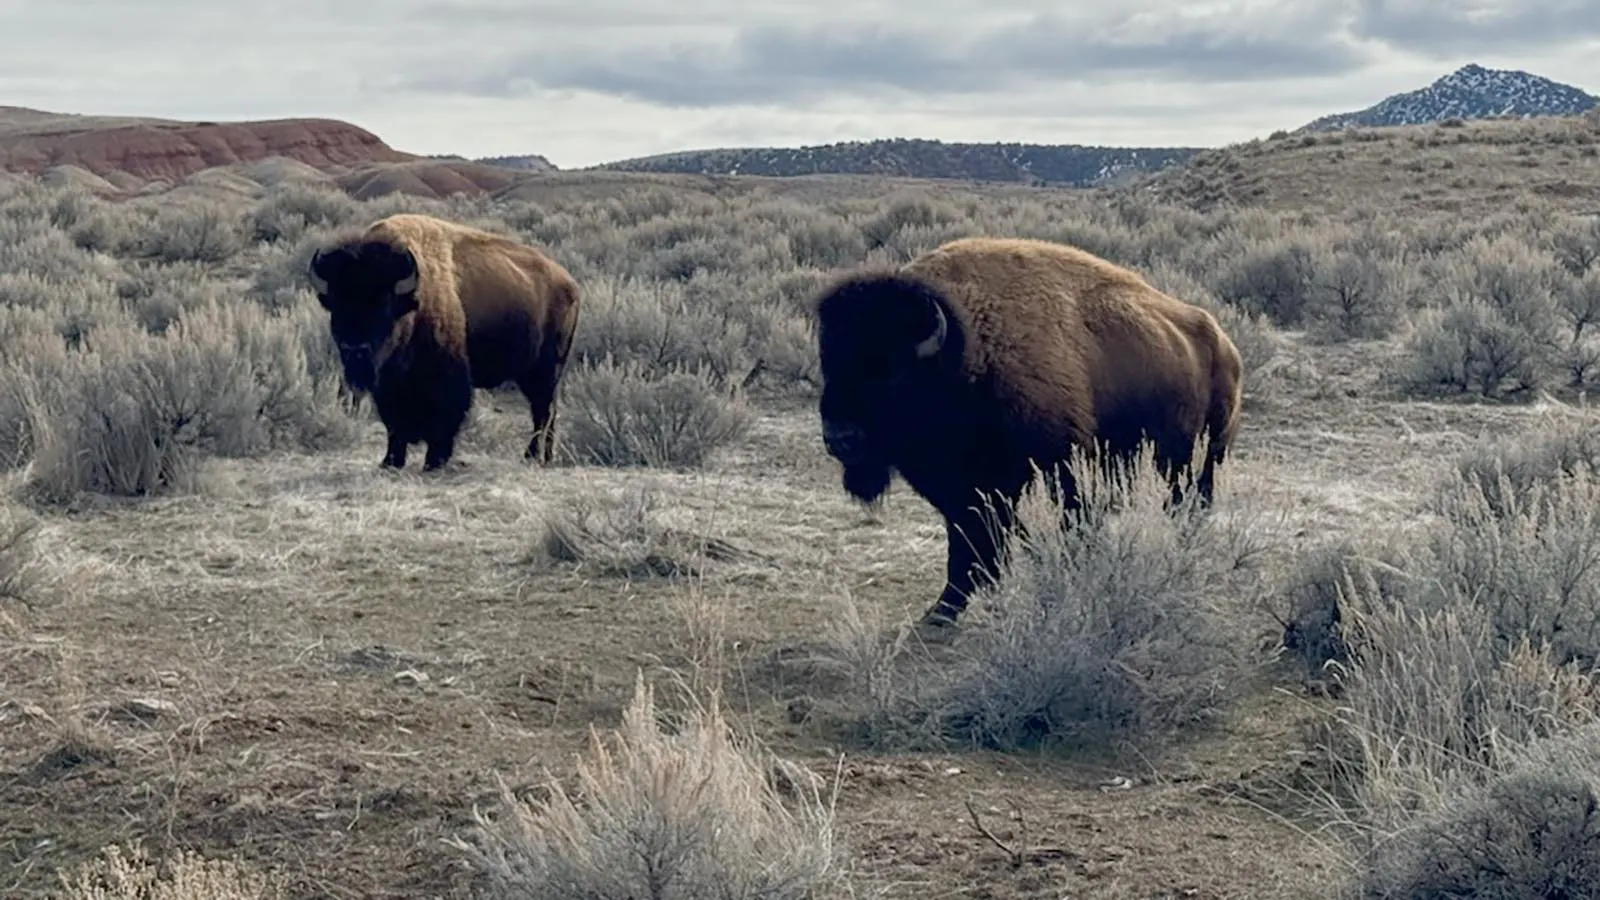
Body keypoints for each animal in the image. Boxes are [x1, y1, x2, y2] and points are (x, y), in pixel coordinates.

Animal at [307, 213, 581, 471]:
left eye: (384, 307)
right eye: (335, 308)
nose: (355, 351)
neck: (414, 304)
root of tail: (570, 284)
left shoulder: (448, 377)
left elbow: (444, 419)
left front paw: (433, 462)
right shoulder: (387, 385)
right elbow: (394, 424)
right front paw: (390, 461)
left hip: (544, 371)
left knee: (541, 411)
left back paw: (531, 456)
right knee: (549, 411)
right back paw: (546, 457)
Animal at [812, 236, 1244, 630]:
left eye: (890, 371)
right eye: (828, 362)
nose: (839, 437)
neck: (970, 347)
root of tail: (1224, 343)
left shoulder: (1058, 469)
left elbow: (1057, 529)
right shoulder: (965, 488)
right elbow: (970, 542)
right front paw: (943, 612)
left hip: (1201, 459)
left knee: (1189, 506)